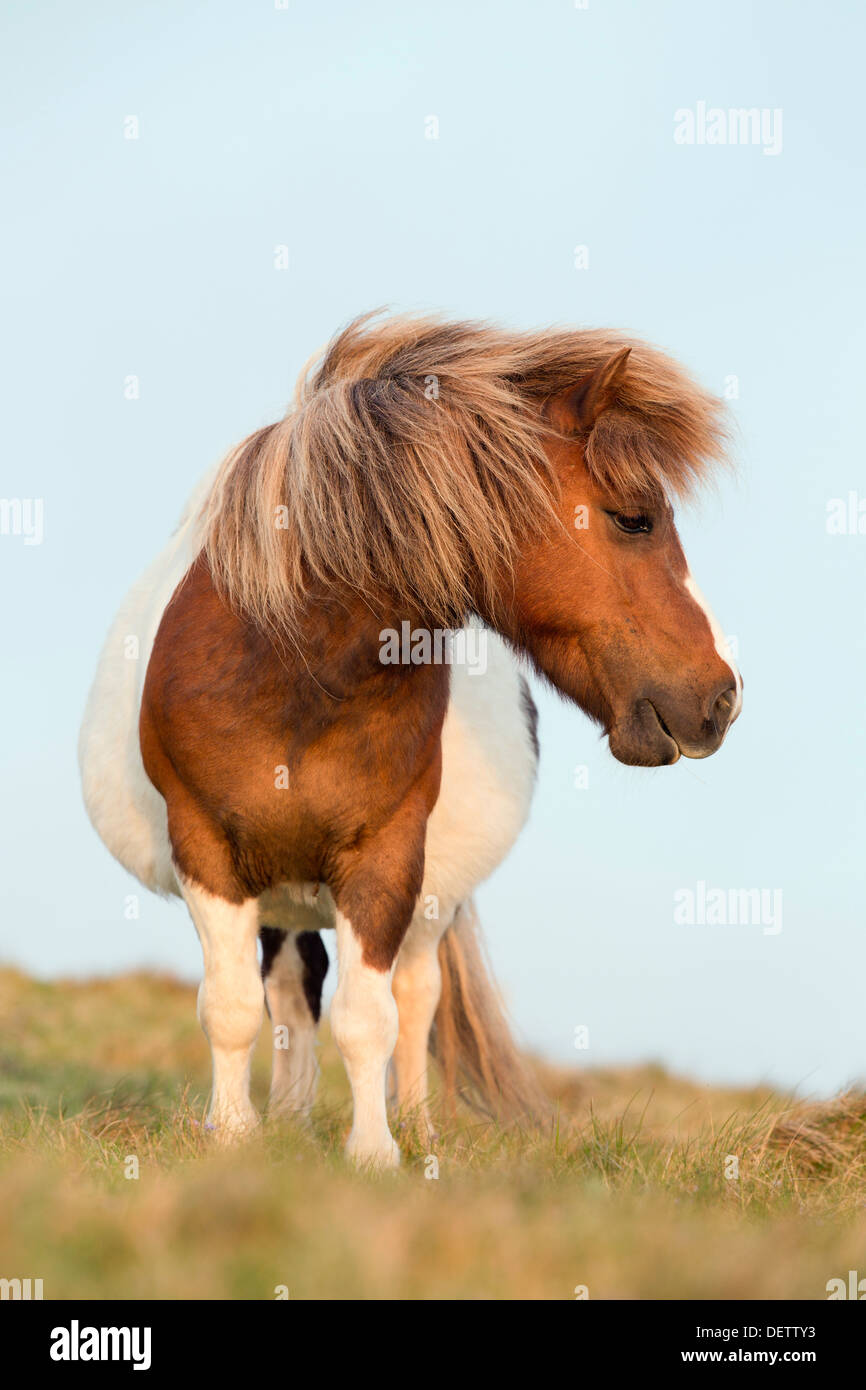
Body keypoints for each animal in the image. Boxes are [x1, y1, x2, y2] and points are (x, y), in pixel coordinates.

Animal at [79, 312, 741, 1168]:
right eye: (634, 518)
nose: (721, 698)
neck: (294, 674)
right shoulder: (210, 852)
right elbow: (231, 1006)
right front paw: (235, 1138)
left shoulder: (386, 859)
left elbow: (373, 1018)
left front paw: (374, 1154)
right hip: (285, 890)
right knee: (291, 987)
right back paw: (289, 1119)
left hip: (428, 902)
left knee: (412, 994)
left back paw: (417, 1129)